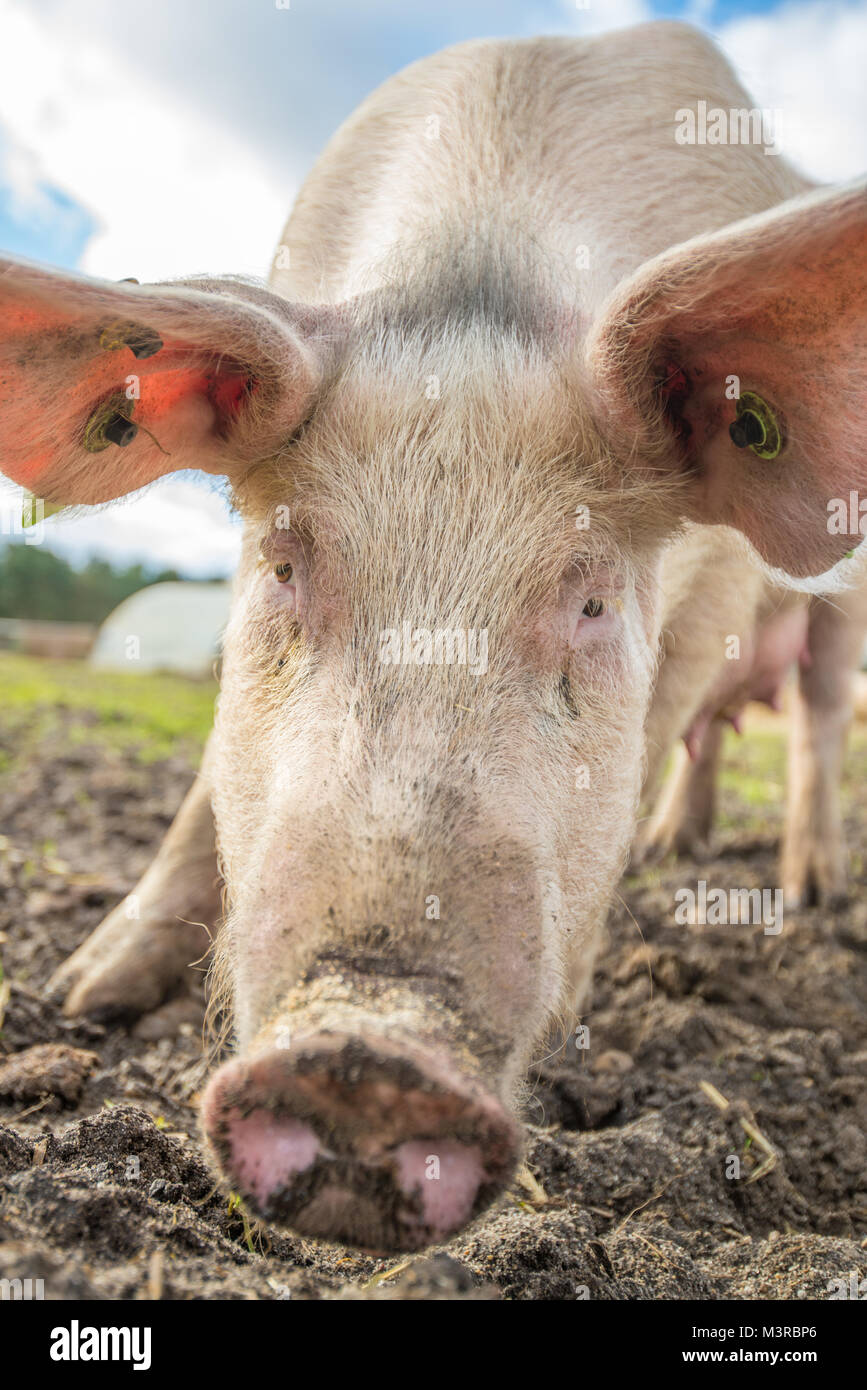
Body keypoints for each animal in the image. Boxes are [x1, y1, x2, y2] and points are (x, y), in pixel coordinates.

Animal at [1, 22, 866, 1251]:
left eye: (592, 602)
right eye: (283, 566)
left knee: (815, 719)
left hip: (841, 610)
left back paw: (814, 888)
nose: (366, 1053)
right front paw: (81, 995)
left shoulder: (703, 602)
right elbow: (203, 787)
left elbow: (658, 727)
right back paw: (674, 851)